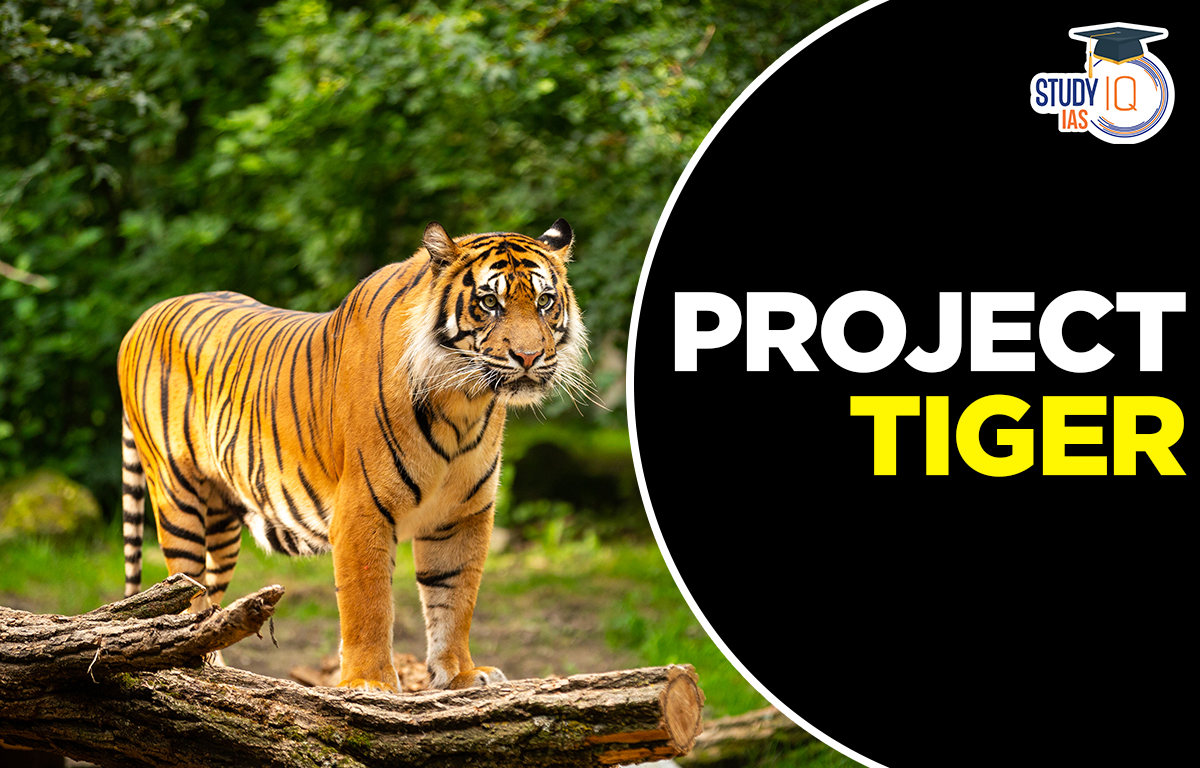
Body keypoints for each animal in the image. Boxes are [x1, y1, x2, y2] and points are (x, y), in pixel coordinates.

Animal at [118, 219, 588, 691]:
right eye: (490, 302)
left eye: (545, 301)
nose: (528, 356)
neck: (462, 403)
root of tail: (142, 318)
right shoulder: (362, 508)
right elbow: (369, 602)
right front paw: (369, 682)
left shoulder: (463, 514)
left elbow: (455, 599)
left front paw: (461, 673)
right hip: (178, 498)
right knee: (186, 592)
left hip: (222, 519)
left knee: (211, 600)